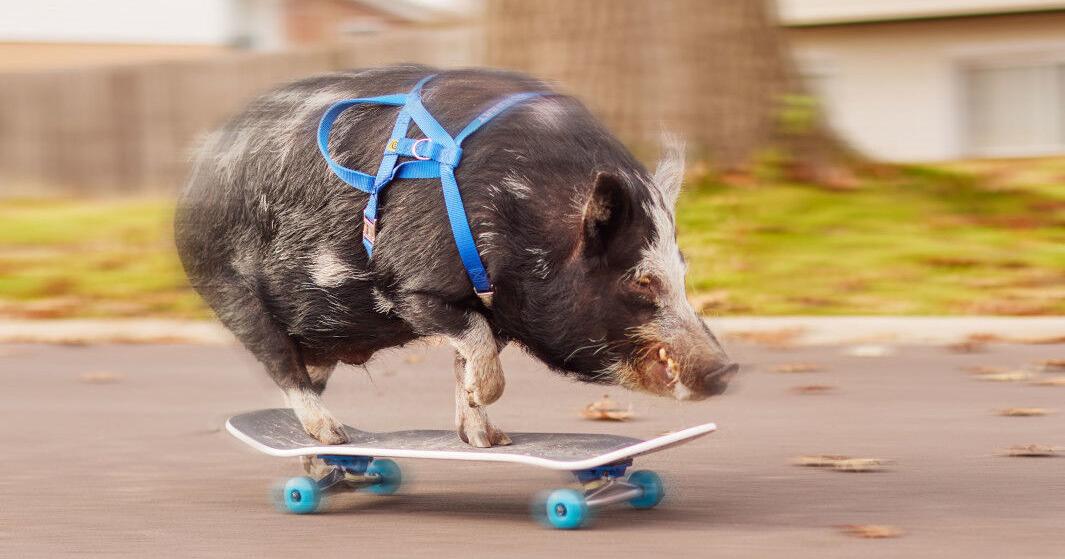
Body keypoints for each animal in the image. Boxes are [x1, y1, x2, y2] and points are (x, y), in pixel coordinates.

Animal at [175, 65, 738, 449]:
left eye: (682, 272)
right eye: (639, 280)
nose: (728, 369)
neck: (529, 215)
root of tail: (196, 172)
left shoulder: (493, 307)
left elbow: (467, 355)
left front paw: (491, 439)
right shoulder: (412, 286)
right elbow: (477, 344)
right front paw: (483, 404)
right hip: (227, 286)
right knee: (280, 363)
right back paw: (332, 436)